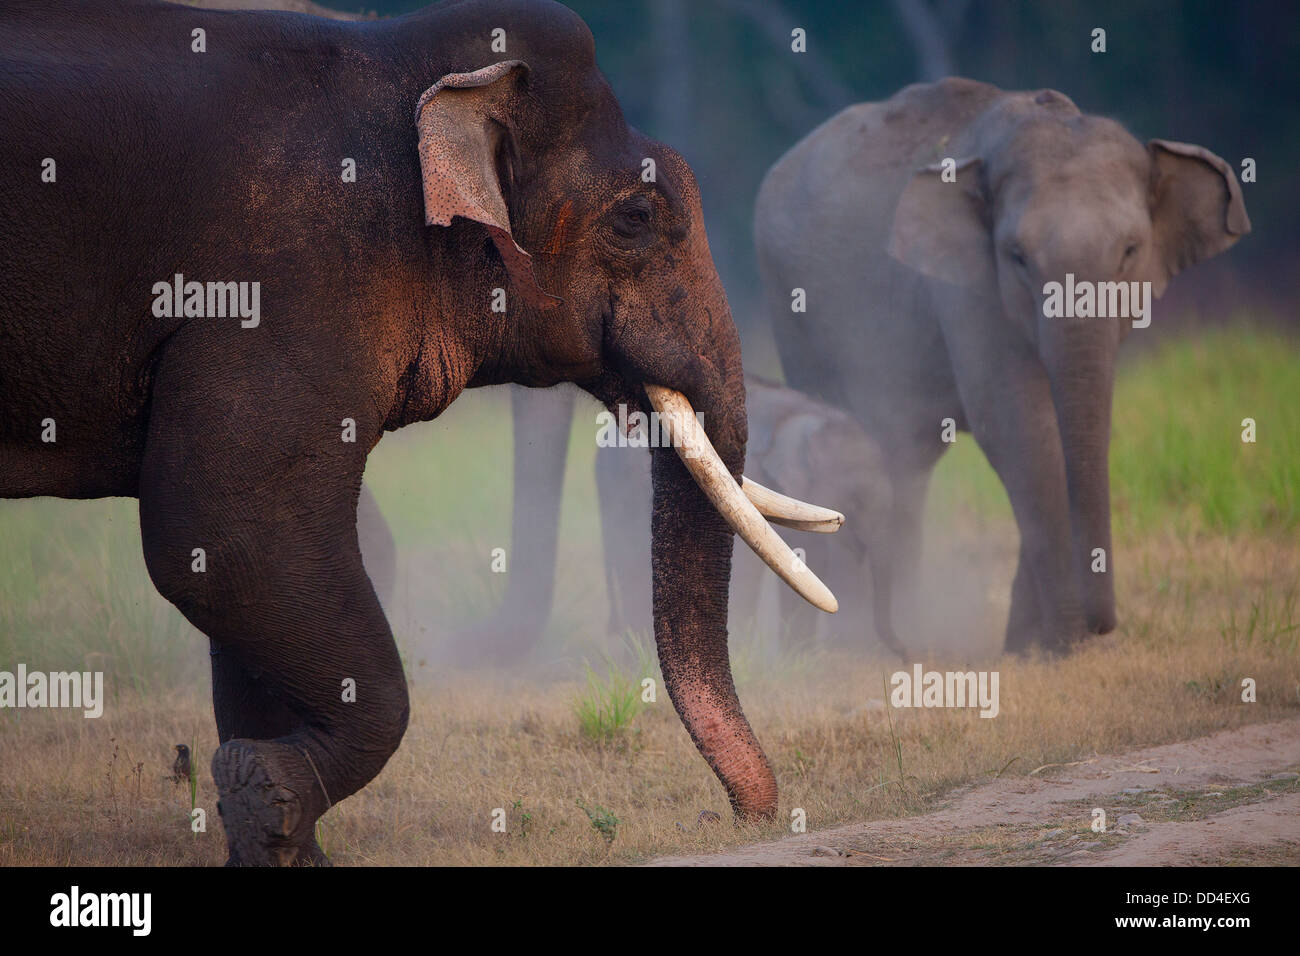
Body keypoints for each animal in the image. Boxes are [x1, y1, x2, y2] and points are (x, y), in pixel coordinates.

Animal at [1, 0, 843, 863]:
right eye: (637, 218)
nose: (741, 815)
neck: (400, 56)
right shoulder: (277, 287)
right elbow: (227, 535)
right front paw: (263, 791)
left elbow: (225, 567)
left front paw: (270, 825)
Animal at [754, 78, 1250, 653]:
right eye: (1016, 256)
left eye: (1131, 250)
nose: (1103, 626)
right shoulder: (965, 287)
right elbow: (1019, 427)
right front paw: (1060, 645)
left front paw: (1030, 646)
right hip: (792, 304)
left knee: (904, 459)